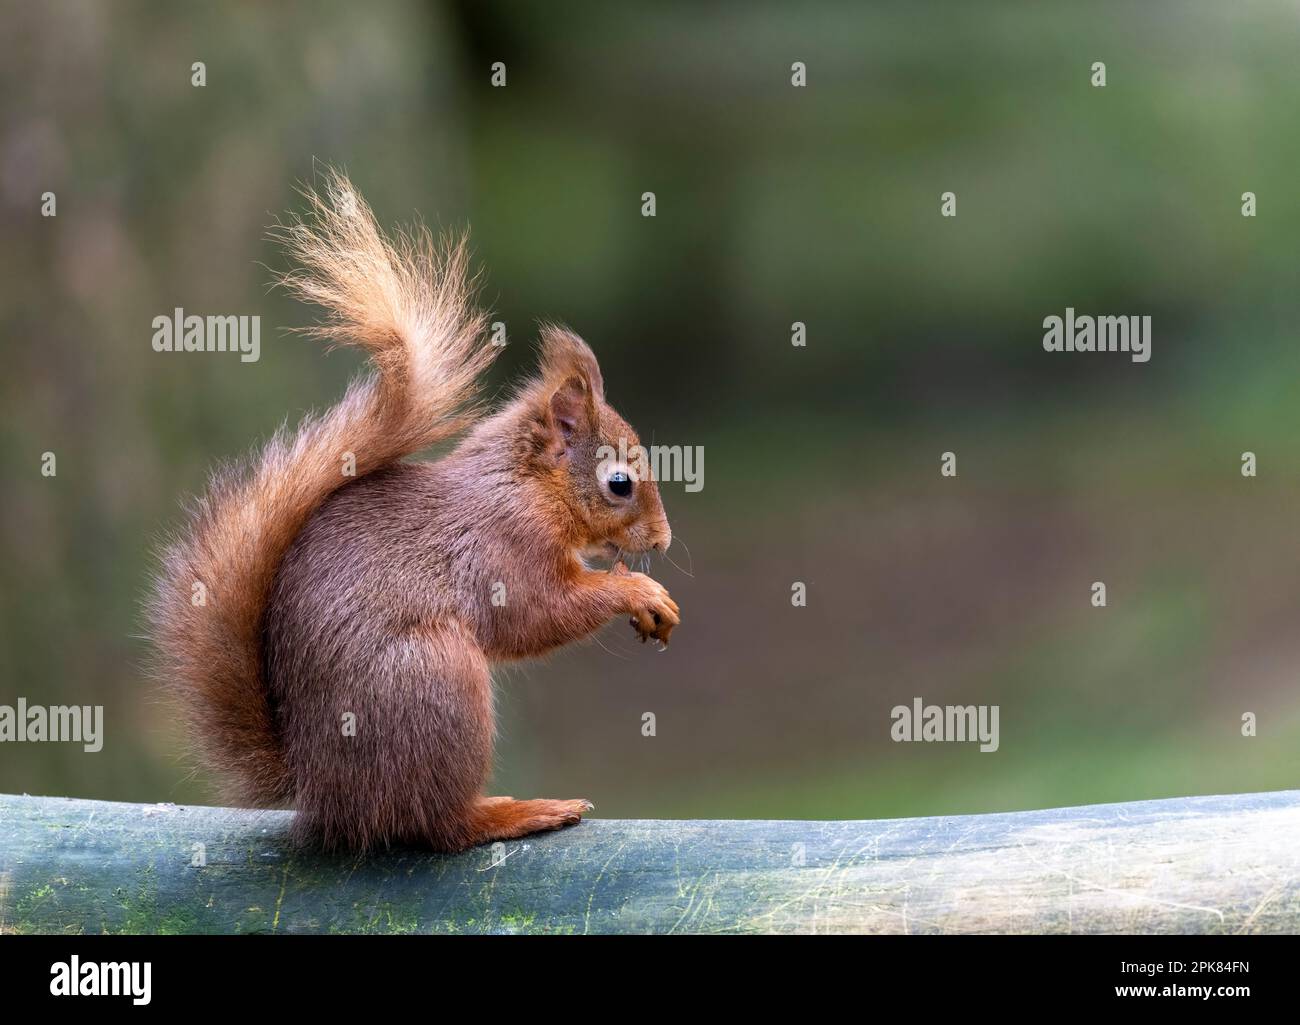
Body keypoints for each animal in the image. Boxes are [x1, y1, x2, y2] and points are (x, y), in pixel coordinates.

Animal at [148, 172, 679, 852]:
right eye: (619, 484)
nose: (663, 541)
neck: (527, 487)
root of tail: (323, 794)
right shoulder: (504, 546)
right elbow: (536, 613)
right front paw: (639, 591)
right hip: (437, 680)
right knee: (438, 824)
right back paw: (515, 813)